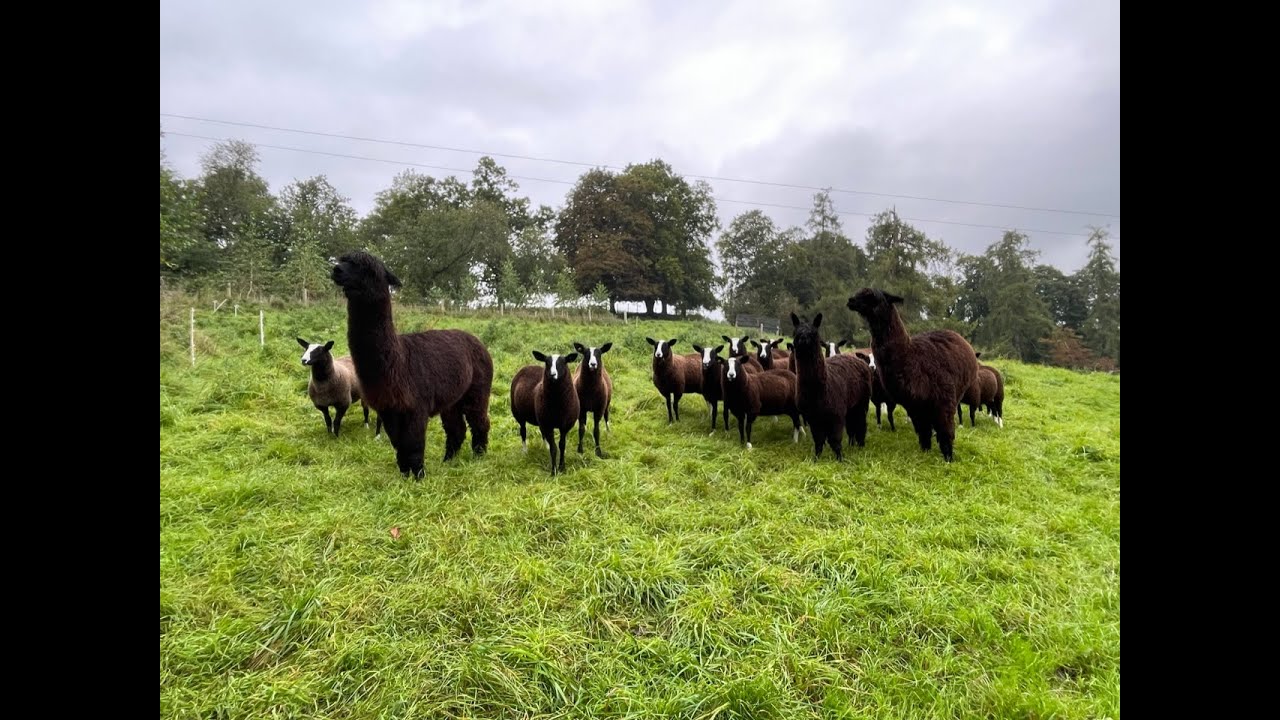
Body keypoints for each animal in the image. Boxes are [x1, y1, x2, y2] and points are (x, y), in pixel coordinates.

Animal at [331, 251, 493, 479]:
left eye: (367, 269)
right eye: (342, 260)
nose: (336, 270)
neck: (397, 362)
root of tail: (477, 340)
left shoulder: (416, 406)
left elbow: (414, 444)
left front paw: (418, 476)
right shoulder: (389, 408)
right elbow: (399, 445)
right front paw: (404, 474)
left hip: (478, 388)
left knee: (479, 421)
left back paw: (478, 457)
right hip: (452, 397)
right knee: (456, 428)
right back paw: (448, 461)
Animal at [789, 313, 873, 460]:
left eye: (814, 333)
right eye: (796, 333)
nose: (803, 339)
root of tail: (858, 359)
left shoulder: (836, 415)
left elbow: (835, 440)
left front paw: (840, 459)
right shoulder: (813, 417)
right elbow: (818, 440)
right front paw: (816, 459)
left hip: (862, 400)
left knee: (860, 423)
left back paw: (861, 445)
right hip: (851, 403)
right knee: (851, 425)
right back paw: (851, 444)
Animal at [847, 288, 979, 462]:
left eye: (870, 296)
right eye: (858, 292)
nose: (850, 301)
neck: (910, 357)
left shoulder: (943, 400)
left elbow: (946, 432)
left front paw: (948, 458)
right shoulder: (915, 406)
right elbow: (924, 433)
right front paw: (925, 453)